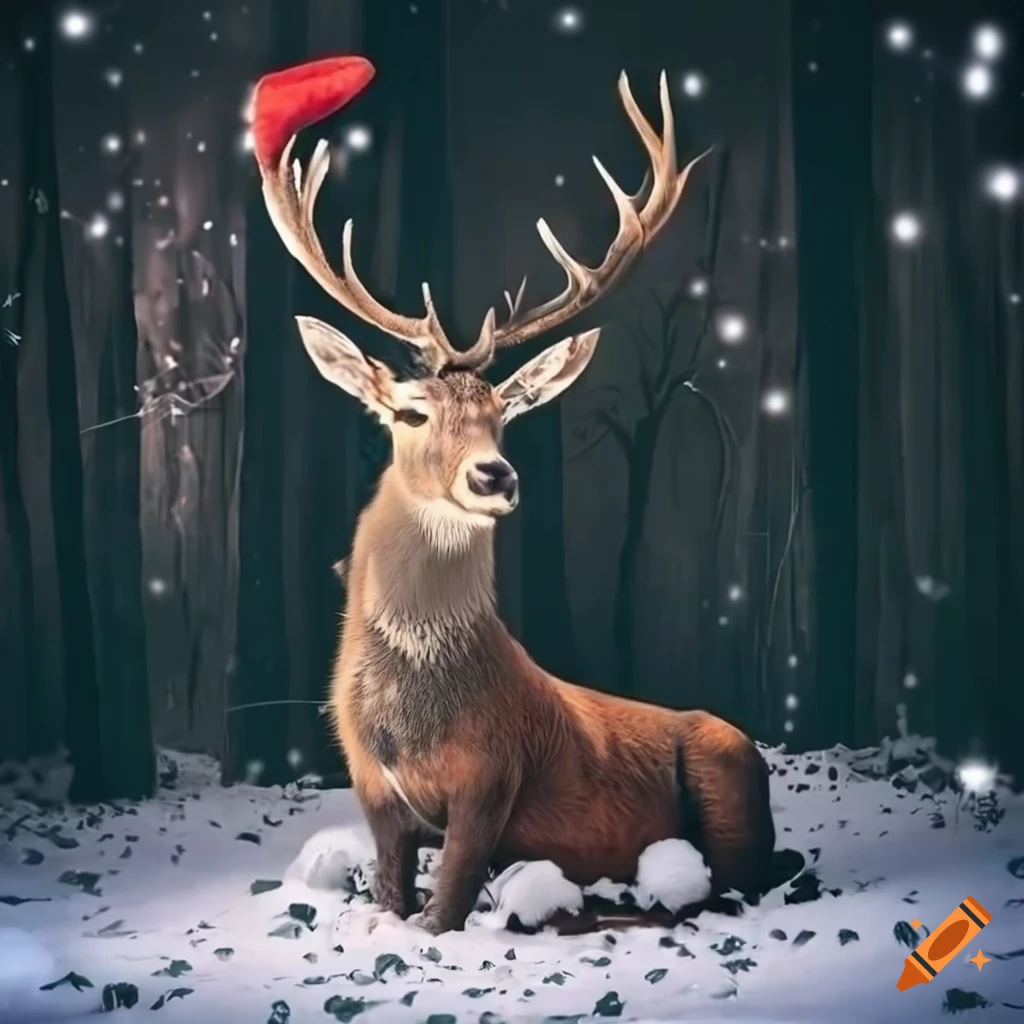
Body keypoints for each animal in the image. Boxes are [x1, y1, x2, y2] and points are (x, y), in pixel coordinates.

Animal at [254, 59, 780, 935]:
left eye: (504, 416)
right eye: (409, 411)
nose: (494, 476)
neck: (413, 718)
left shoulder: (492, 780)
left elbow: (444, 909)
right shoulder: (372, 788)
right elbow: (395, 896)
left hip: (729, 767)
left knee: (745, 880)